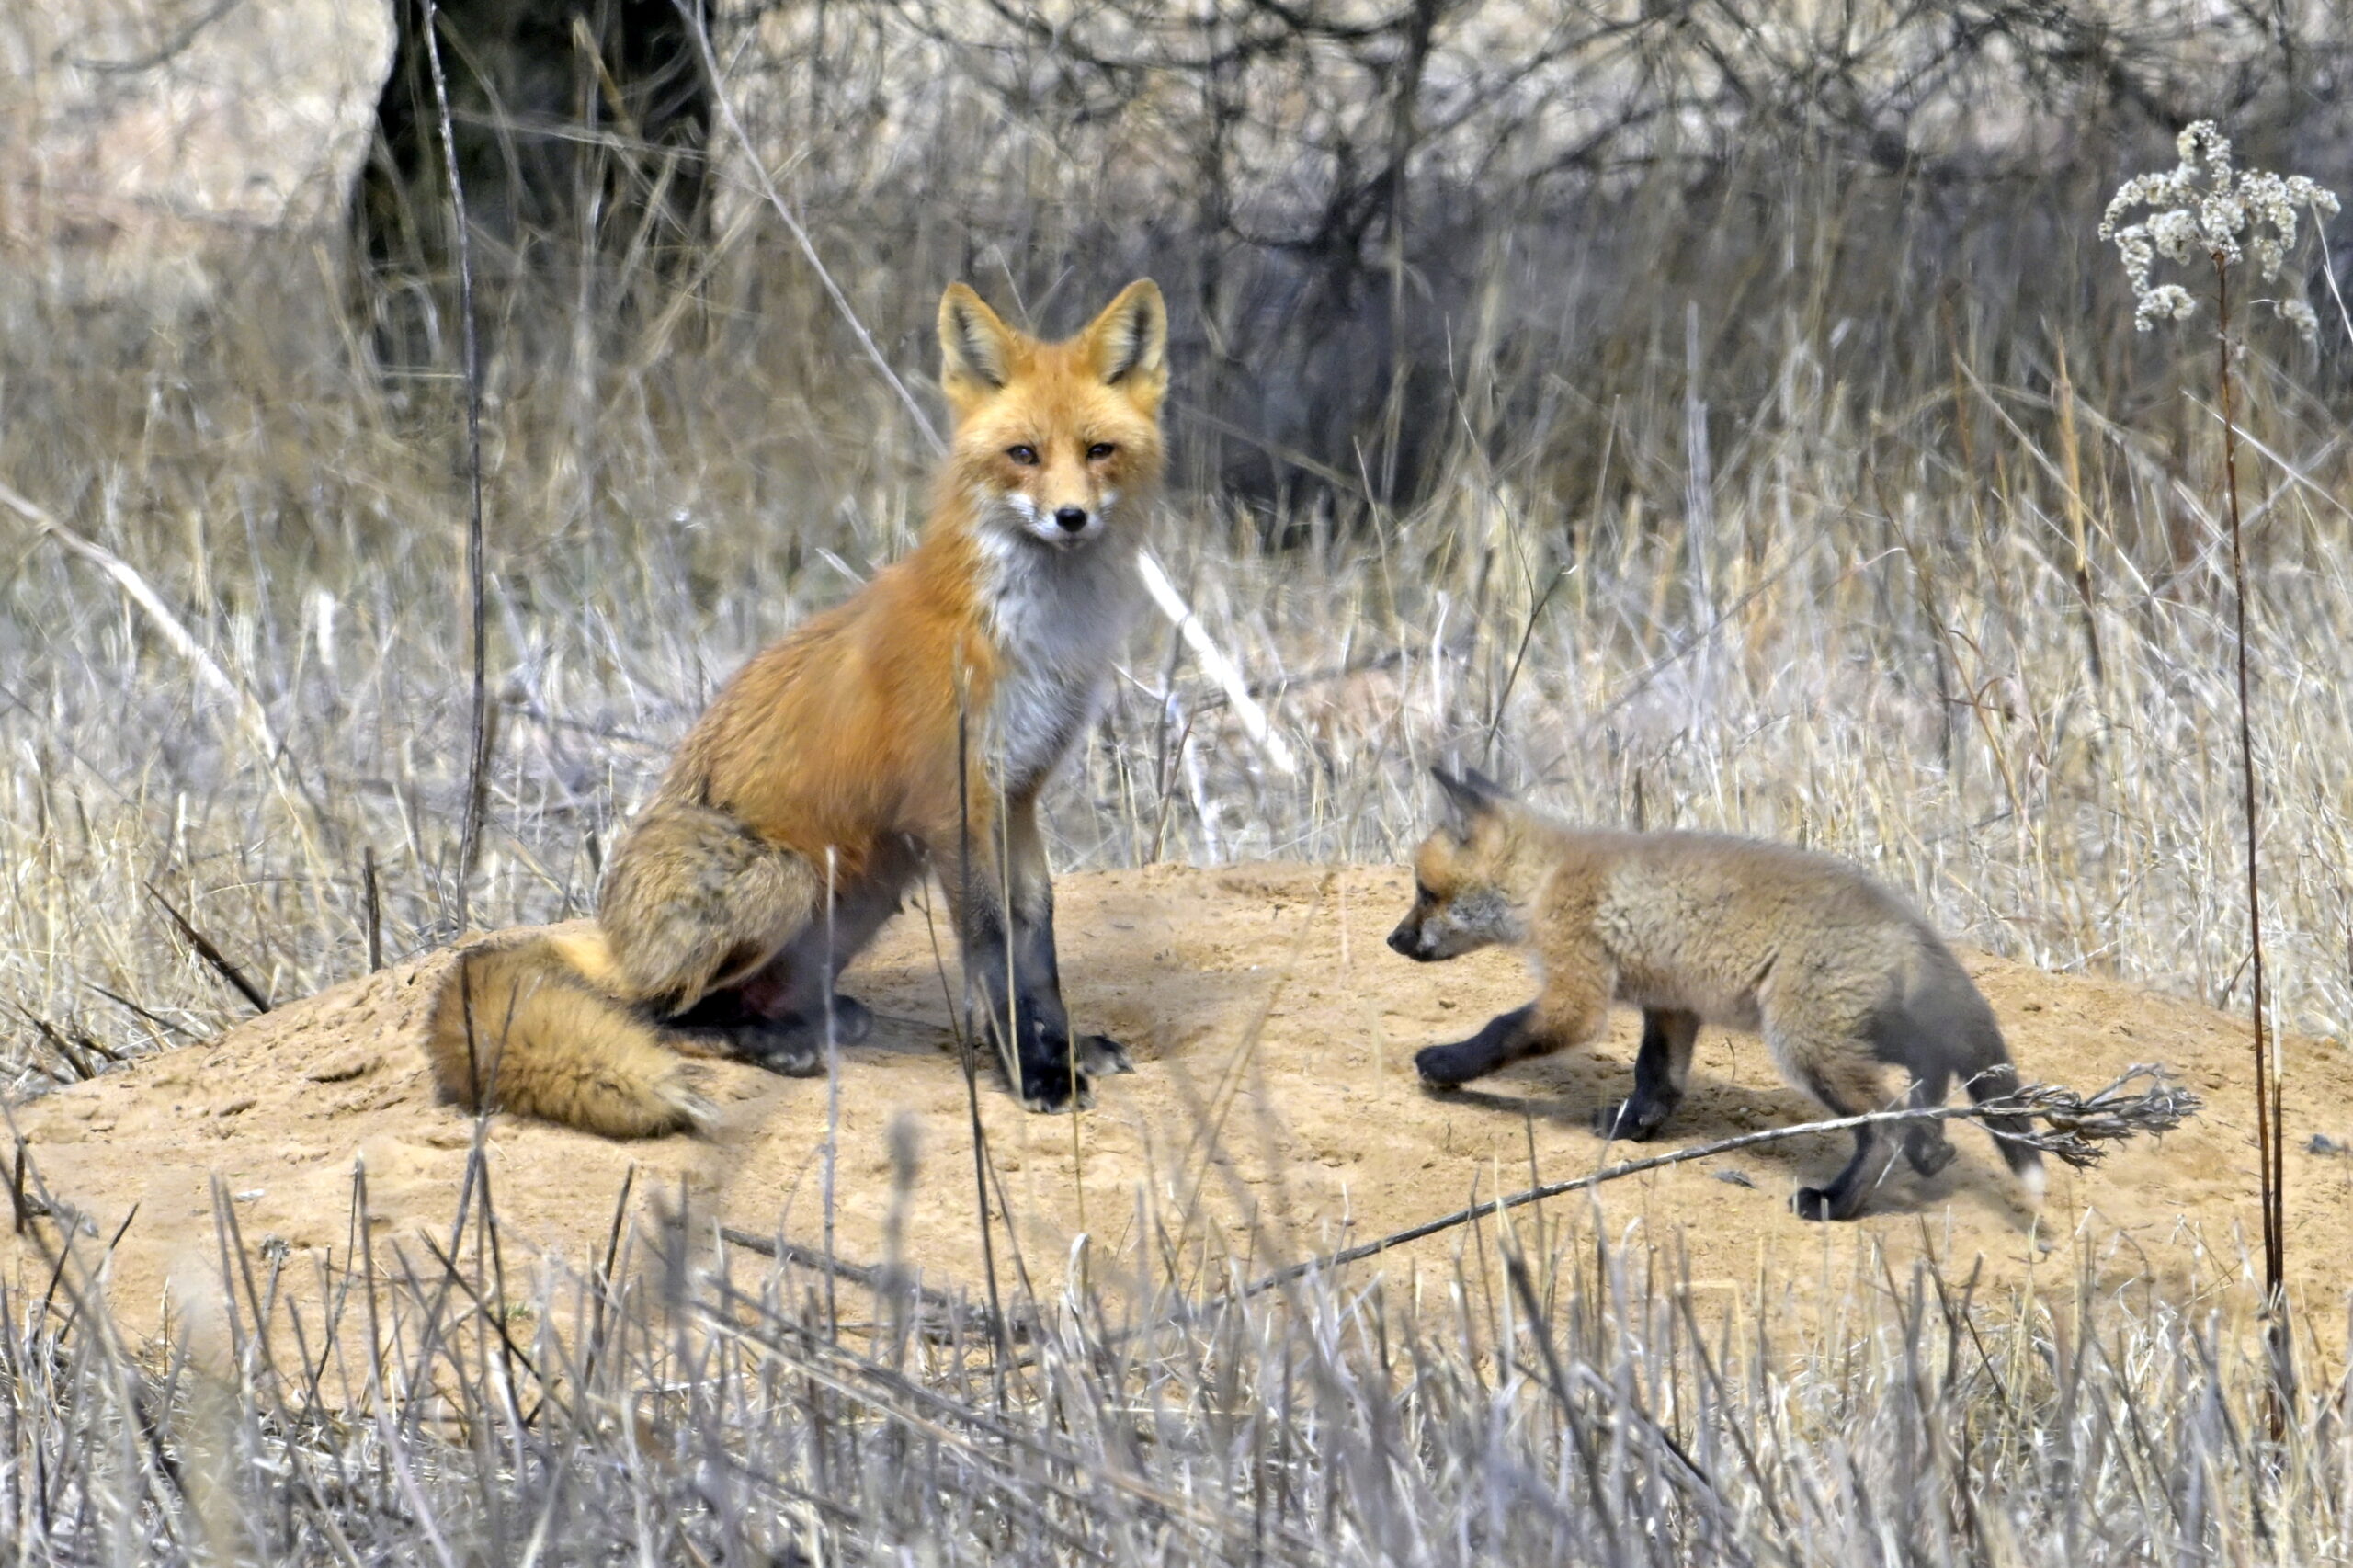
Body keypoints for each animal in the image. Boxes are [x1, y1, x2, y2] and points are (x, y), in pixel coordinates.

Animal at [426, 279, 1169, 1136]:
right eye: (1024, 455)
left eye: (1098, 451)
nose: (1070, 518)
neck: (1032, 631)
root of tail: (612, 942)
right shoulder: (955, 802)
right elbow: (990, 949)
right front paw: (1032, 1072)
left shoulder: (1017, 793)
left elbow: (1036, 938)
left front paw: (1065, 1046)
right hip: (789, 879)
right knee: (659, 1013)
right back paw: (773, 1045)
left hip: (868, 887)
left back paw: (810, 1019)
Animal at [1386, 768, 2045, 1221]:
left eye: (1425, 893)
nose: (1394, 940)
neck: (1547, 879)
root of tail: (1911, 922)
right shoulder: (1672, 1004)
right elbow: (1657, 1078)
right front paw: (1632, 1128)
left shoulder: (1577, 994)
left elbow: (1502, 1030)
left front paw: (1444, 1065)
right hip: (1852, 1032)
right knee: (1928, 1069)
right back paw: (1931, 1146)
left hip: (1804, 1044)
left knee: (1884, 1124)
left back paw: (1836, 1203)